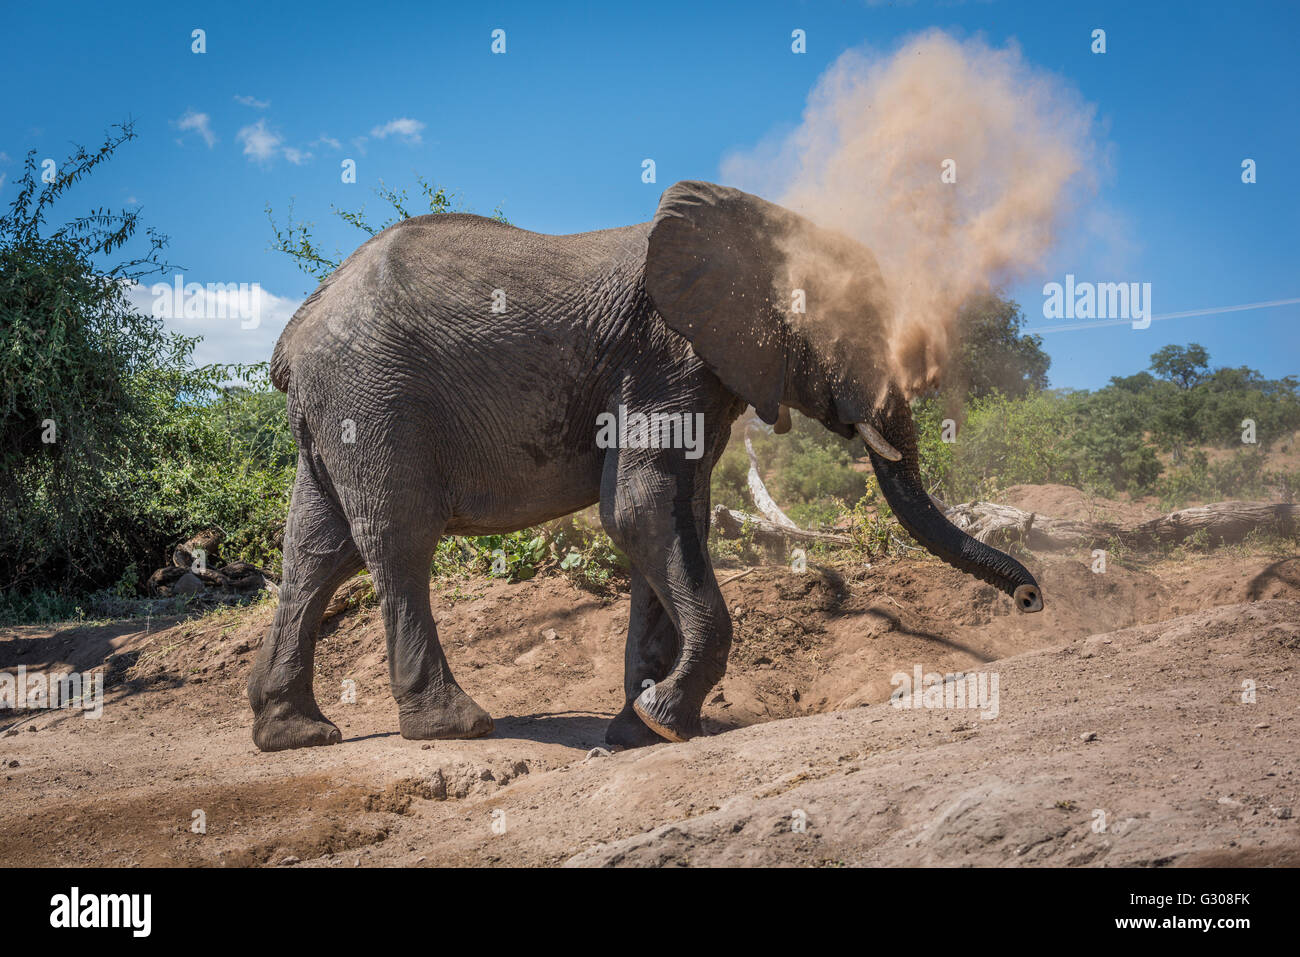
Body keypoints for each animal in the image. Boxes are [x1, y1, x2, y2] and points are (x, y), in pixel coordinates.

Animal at [247, 180, 1043, 753]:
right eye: (848, 324)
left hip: (339, 412)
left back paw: (294, 733)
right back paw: (456, 725)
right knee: (398, 541)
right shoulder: (665, 355)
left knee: (316, 550)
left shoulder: (701, 373)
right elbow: (640, 509)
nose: (1031, 599)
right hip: (375, 397)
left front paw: (642, 727)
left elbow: (676, 516)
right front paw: (664, 717)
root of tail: (292, 335)